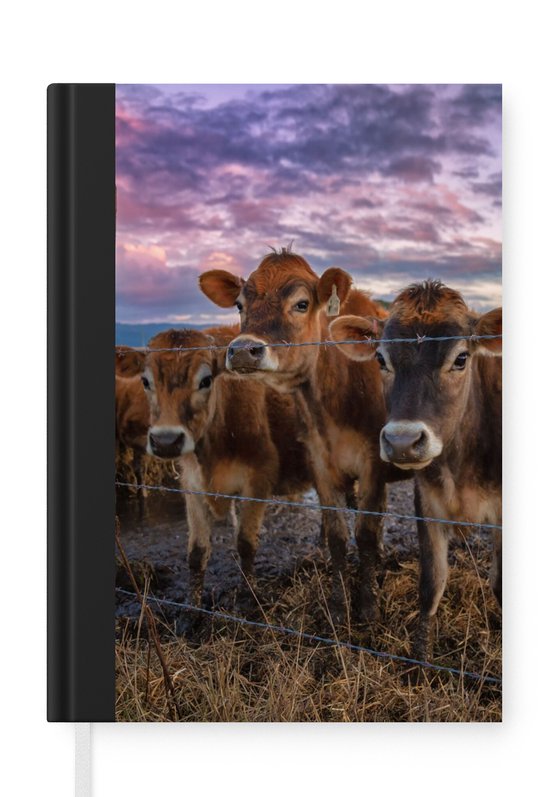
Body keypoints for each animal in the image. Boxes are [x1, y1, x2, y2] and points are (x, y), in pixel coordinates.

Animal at [124, 325, 313, 606]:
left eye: (205, 380)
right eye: (145, 381)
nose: (166, 441)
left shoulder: (259, 478)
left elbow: (246, 543)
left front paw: (251, 596)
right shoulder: (191, 484)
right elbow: (196, 553)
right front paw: (193, 608)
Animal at [199, 250, 407, 623]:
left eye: (301, 304)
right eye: (239, 304)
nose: (242, 350)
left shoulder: (373, 462)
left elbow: (366, 534)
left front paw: (368, 607)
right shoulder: (320, 462)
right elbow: (339, 537)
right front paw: (339, 607)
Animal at [329, 279, 502, 659]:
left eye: (461, 358)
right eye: (381, 359)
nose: (403, 441)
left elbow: (500, 583)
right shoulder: (428, 501)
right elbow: (431, 582)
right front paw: (420, 660)